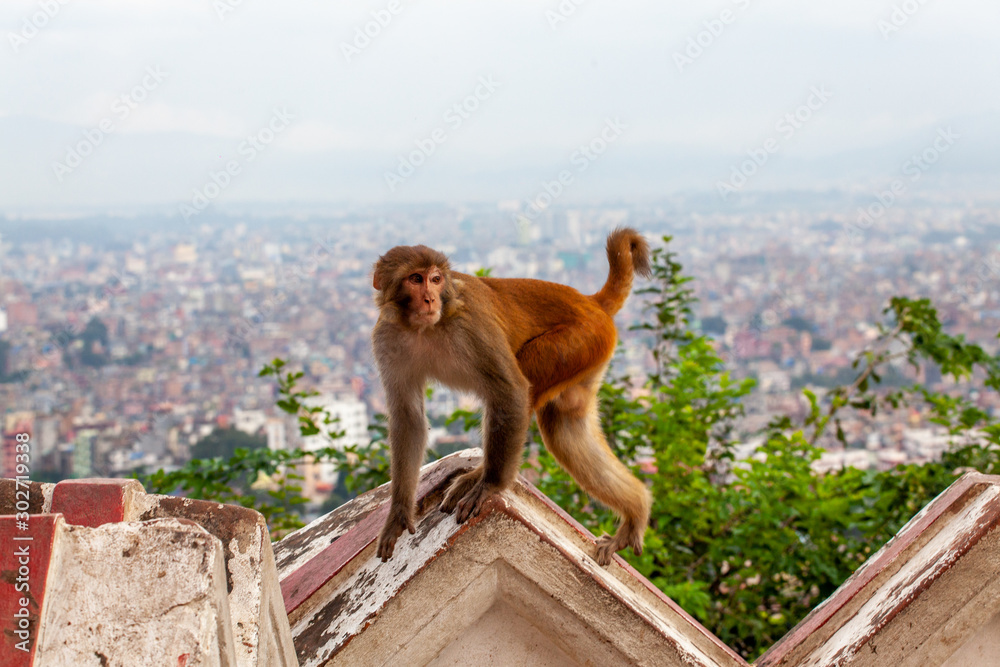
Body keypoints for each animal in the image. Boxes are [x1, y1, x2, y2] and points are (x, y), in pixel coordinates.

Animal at [372, 227, 652, 566]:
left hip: (577, 340)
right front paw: (399, 515)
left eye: (435, 279)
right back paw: (636, 511)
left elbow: (512, 391)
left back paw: (481, 476)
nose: (429, 298)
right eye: (415, 278)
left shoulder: (470, 327)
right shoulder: (387, 338)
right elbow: (408, 418)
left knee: (525, 380)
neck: (424, 329)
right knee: (565, 427)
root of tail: (590, 301)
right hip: (589, 353)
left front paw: (489, 486)